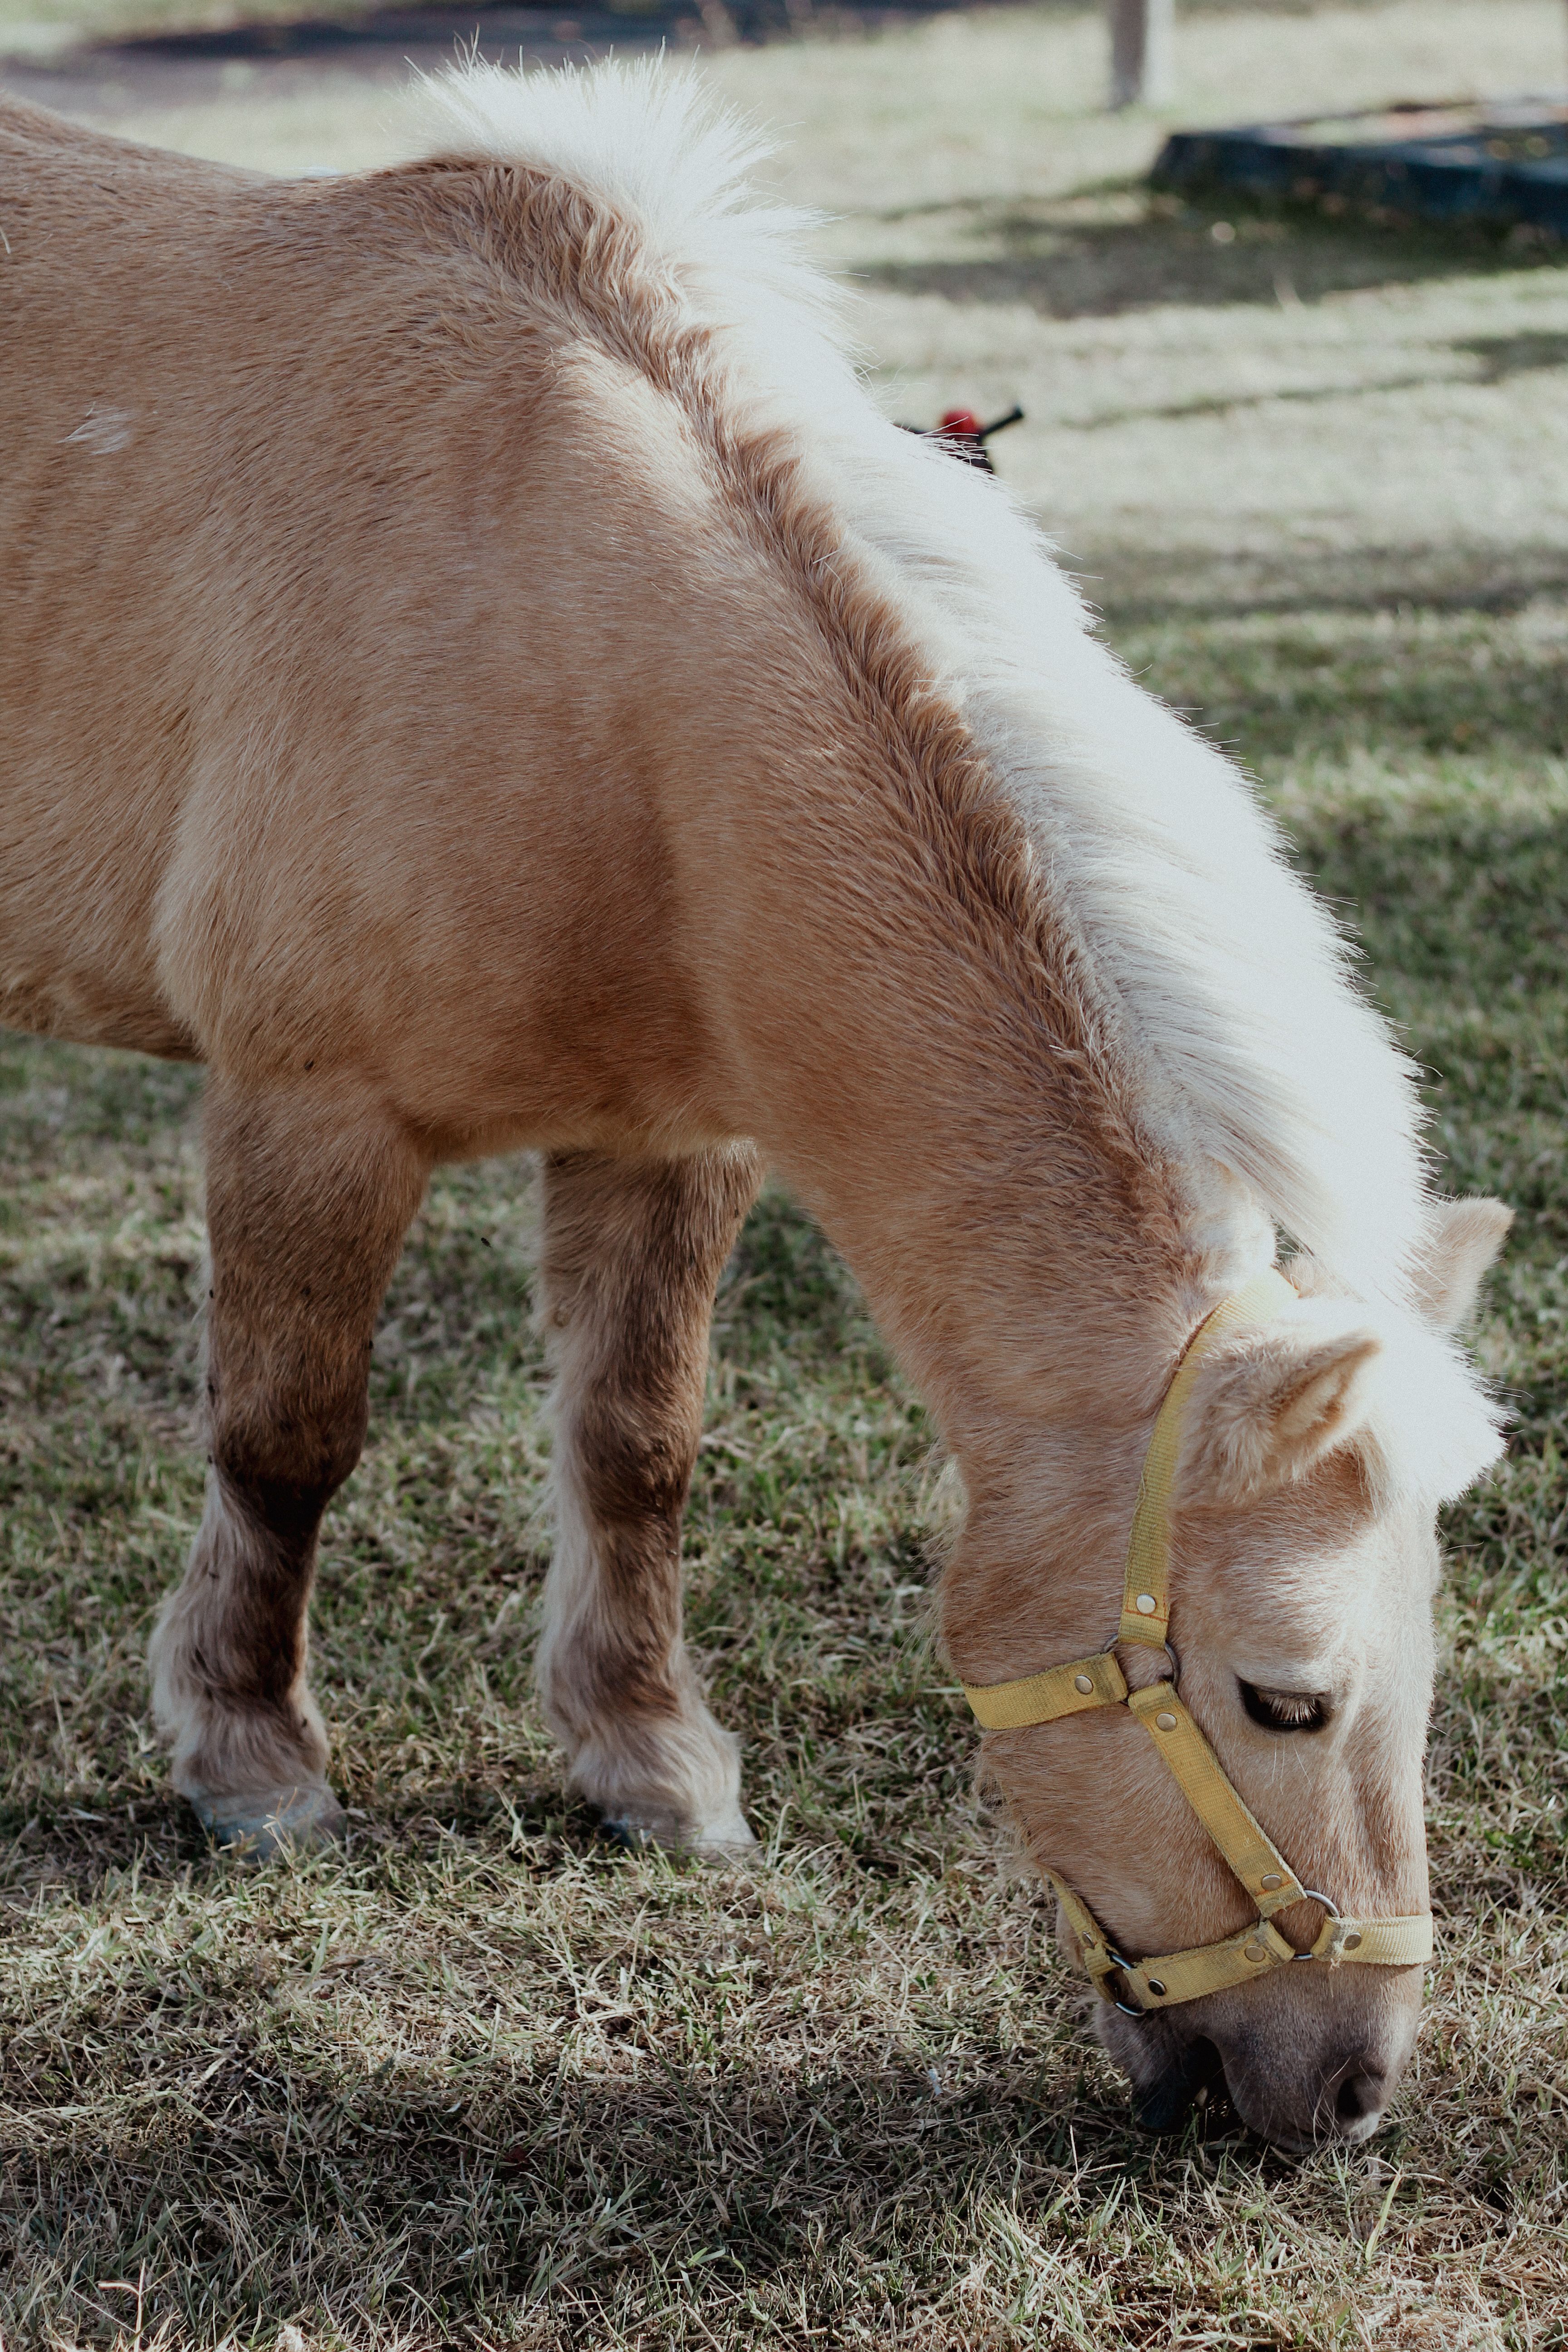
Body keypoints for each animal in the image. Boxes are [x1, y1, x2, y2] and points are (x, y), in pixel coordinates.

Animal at [0, 61, 1510, 2153]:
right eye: (1284, 1696)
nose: (1351, 2091)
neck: (577, 639)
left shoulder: (669, 1144)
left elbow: (637, 1449)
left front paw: (649, 1765)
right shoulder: (308, 1114)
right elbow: (287, 1445)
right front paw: (253, 1764)